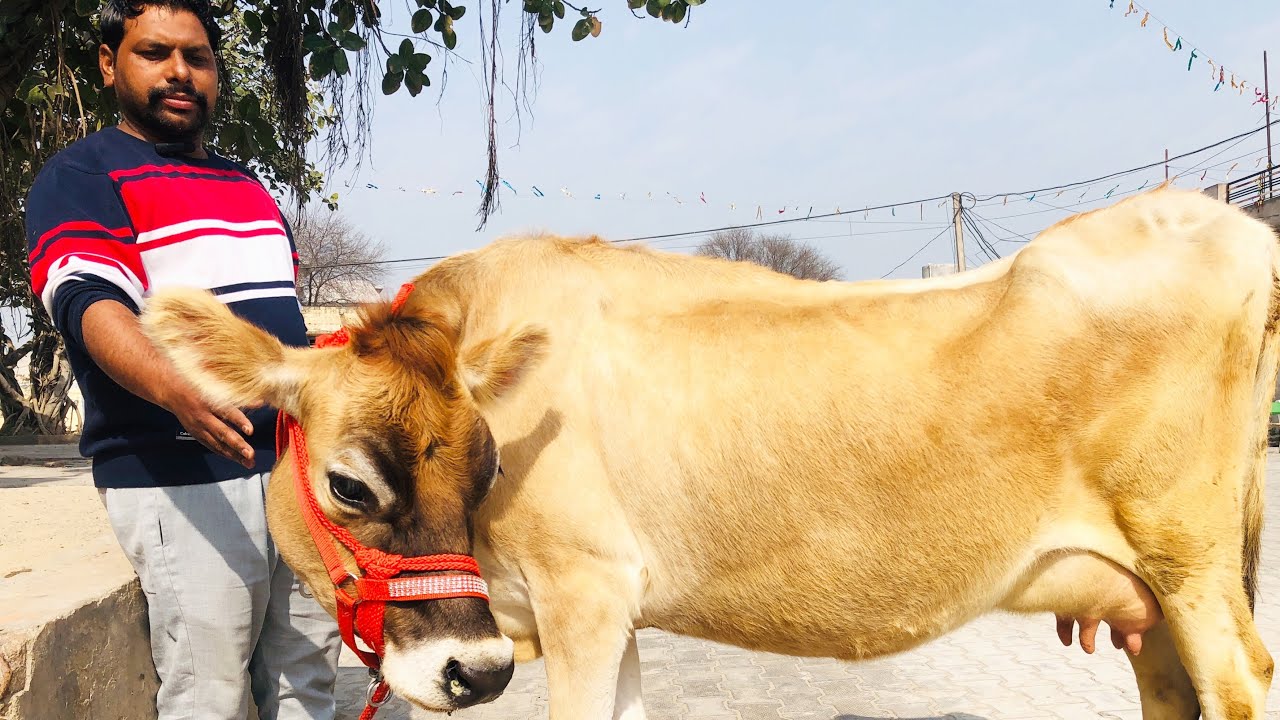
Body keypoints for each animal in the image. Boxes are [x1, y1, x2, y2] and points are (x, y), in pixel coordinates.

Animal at [139, 185, 1280, 720]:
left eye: (484, 468)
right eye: (349, 483)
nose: (473, 670)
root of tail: (1220, 220)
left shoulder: (583, 590)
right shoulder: (615, 608)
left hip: (1191, 565)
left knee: (1239, 686)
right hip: (1148, 596)